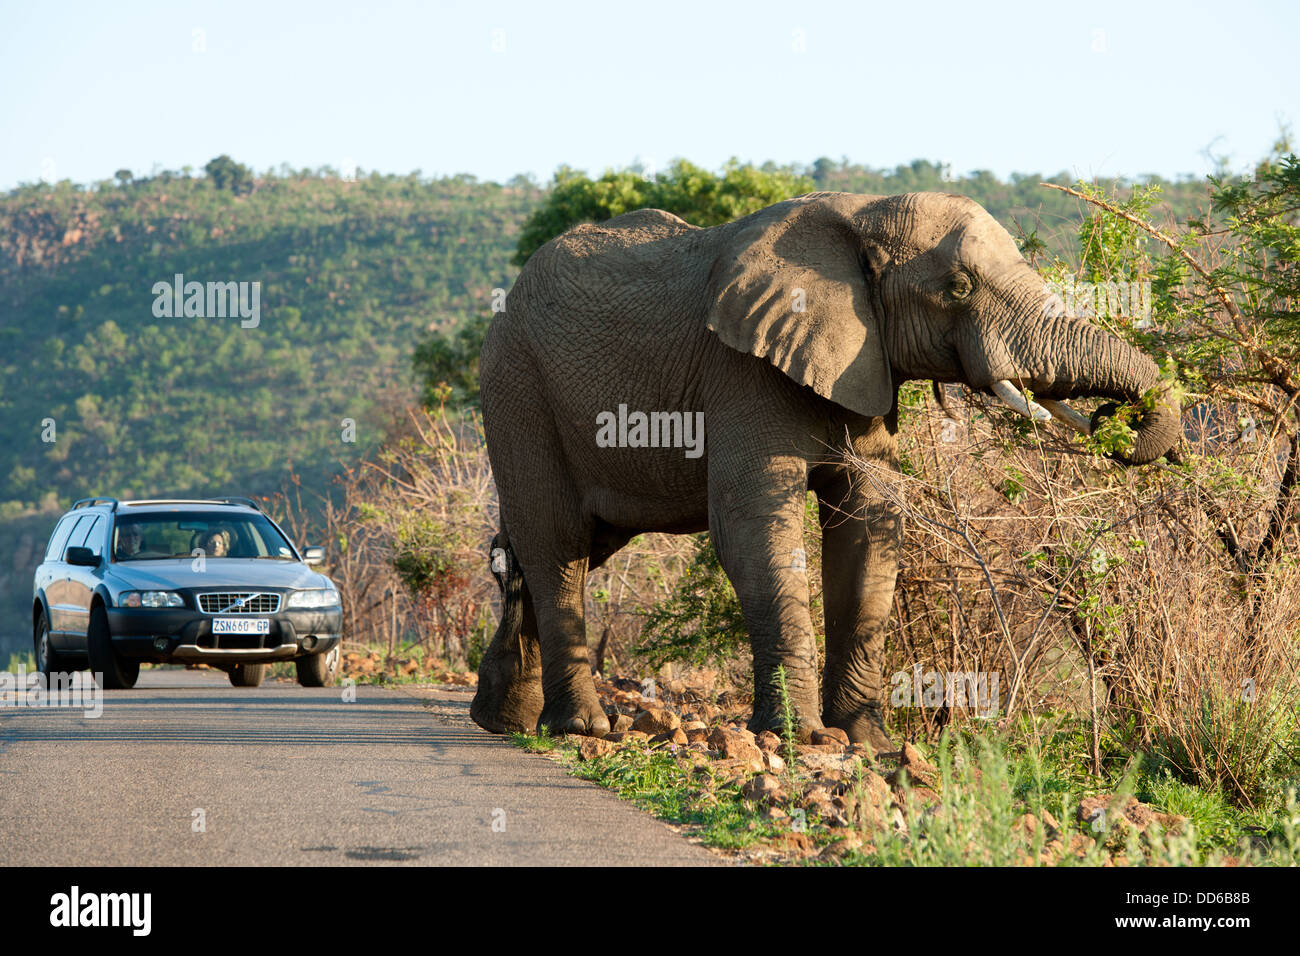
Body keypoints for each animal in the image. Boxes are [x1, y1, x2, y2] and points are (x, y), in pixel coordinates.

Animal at [468, 191, 1180, 749]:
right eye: (956, 288)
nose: (1120, 415)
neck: (862, 213)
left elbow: (870, 528)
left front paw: (869, 742)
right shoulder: (741, 375)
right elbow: (755, 529)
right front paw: (799, 738)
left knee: (571, 545)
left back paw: (502, 720)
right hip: (516, 385)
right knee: (557, 540)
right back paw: (580, 729)